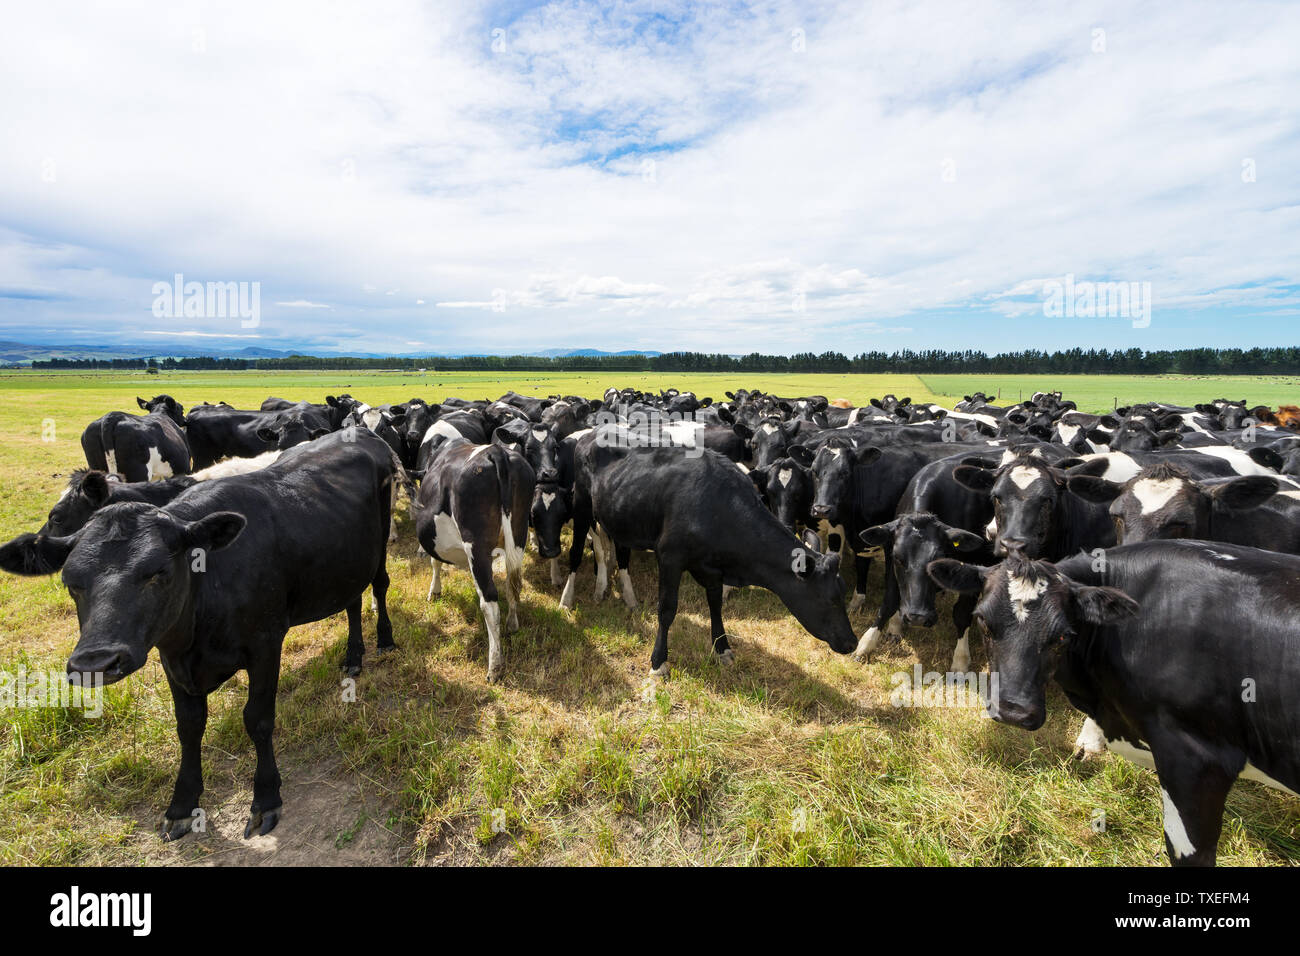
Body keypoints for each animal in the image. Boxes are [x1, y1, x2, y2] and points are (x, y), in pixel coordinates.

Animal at [0, 429, 409, 841]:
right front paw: (182, 805)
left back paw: (383, 641)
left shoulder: (265, 643)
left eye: (159, 572)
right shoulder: (171, 656)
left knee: (379, 585)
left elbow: (258, 718)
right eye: (71, 581)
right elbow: (189, 726)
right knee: (353, 601)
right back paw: (353, 656)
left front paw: (265, 799)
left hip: (378, 544)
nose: (95, 662)